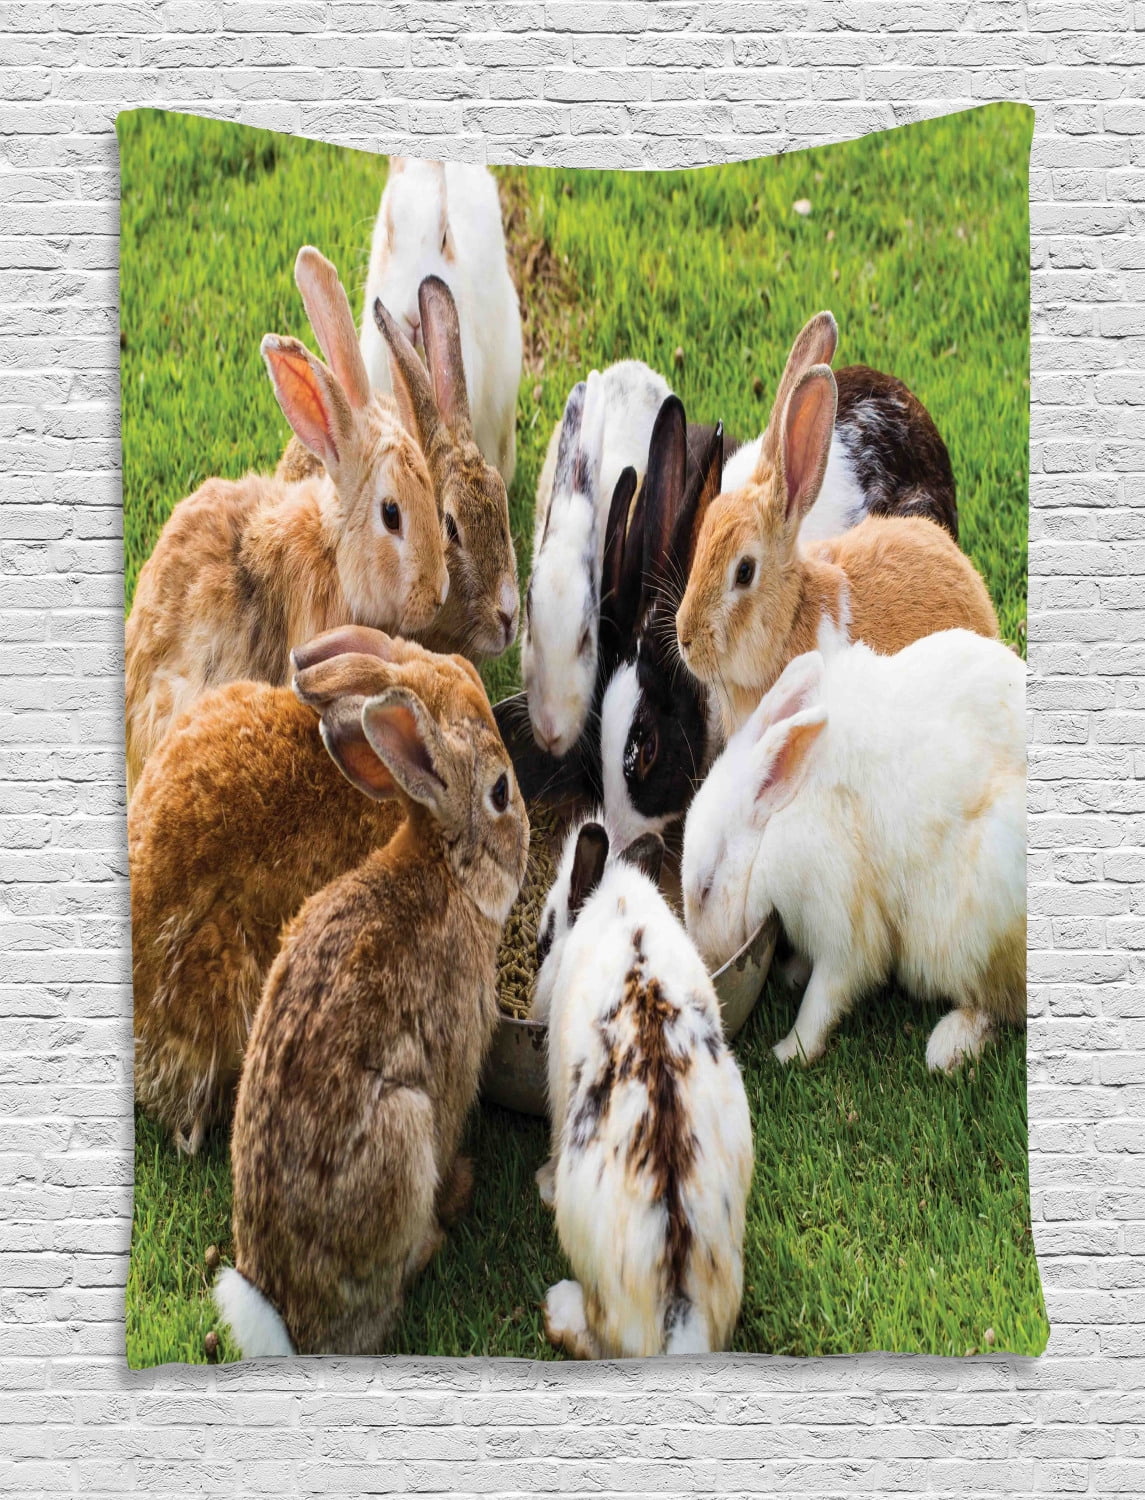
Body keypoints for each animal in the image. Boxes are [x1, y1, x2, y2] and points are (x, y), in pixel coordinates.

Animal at [215, 647, 529, 1356]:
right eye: (500, 792)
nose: (525, 837)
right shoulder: (453, 1062)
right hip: (401, 1130)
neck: (449, 872)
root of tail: (292, 1322)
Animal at [681, 631, 1027, 1072]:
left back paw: (949, 1046)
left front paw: (791, 1051)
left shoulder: (844, 925)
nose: (707, 961)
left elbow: (824, 996)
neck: (775, 827)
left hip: (971, 922)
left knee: (999, 1003)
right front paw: (791, 973)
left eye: (707, 887)